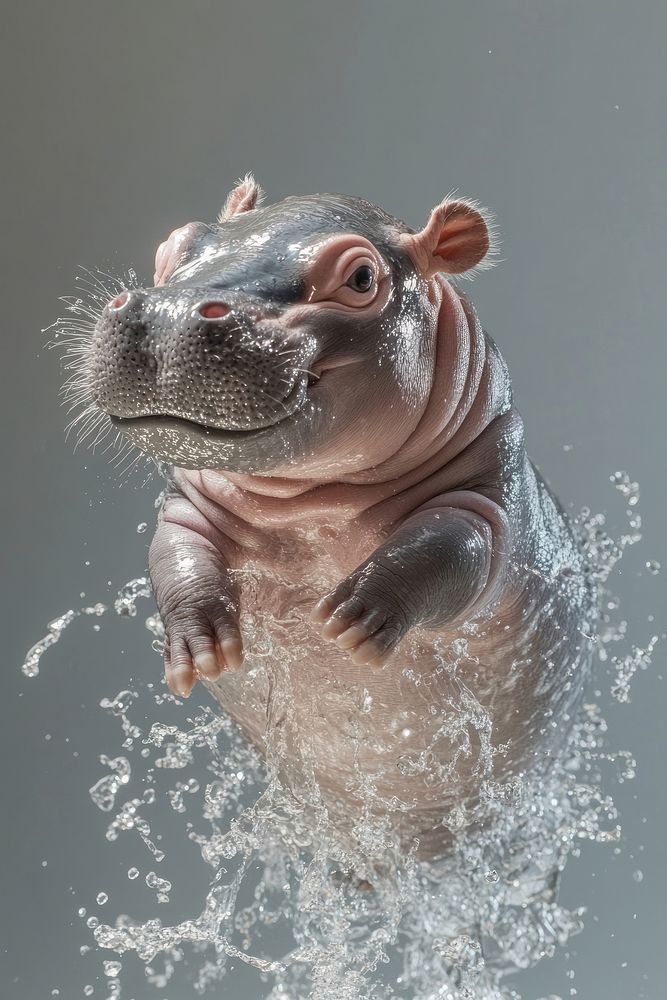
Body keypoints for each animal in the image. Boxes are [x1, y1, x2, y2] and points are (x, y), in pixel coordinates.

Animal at [83, 174, 595, 859]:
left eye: (361, 278)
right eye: (170, 249)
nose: (168, 313)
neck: (314, 501)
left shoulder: (488, 506)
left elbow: (442, 550)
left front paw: (352, 618)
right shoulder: (190, 502)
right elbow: (175, 557)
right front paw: (200, 646)